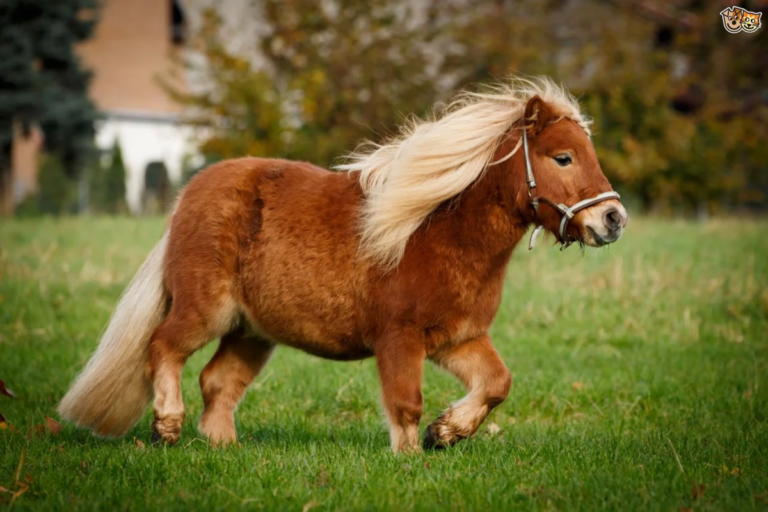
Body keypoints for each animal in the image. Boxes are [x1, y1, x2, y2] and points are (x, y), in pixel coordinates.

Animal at [58, 77, 628, 453]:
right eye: (562, 158)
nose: (613, 218)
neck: (435, 229)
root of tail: (189, 195)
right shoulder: (399, 338)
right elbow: (405, 403)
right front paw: (412, 458)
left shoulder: (459, 338)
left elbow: (496, 383)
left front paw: (446, 431)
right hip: (206, 311)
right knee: (163, 348)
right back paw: (167, 426)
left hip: (250, 331)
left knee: (218, 382)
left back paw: (224, 449)